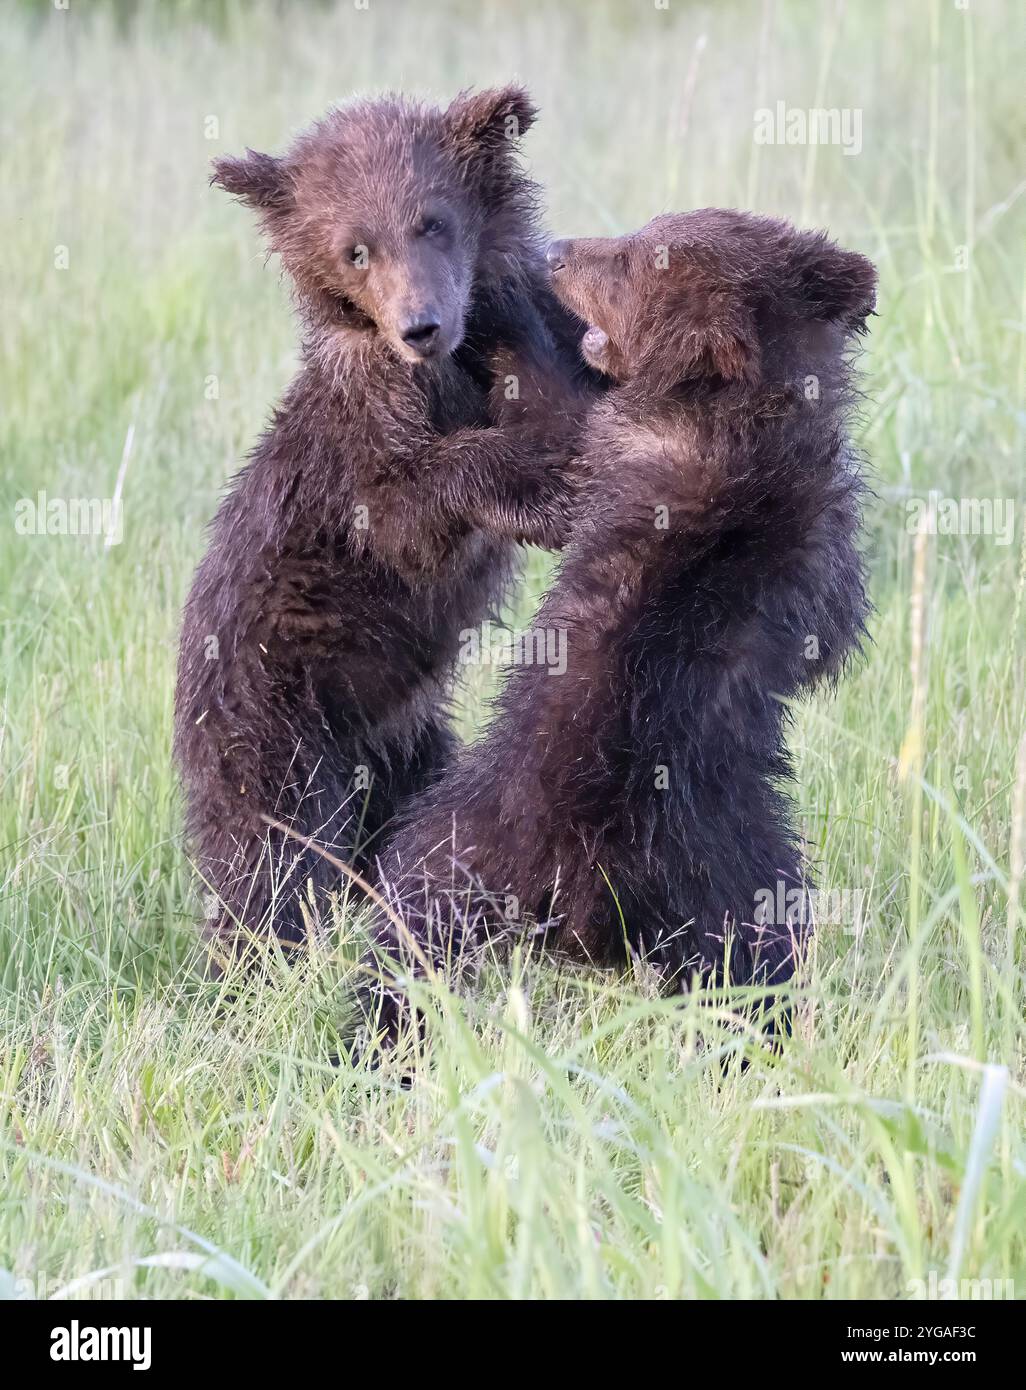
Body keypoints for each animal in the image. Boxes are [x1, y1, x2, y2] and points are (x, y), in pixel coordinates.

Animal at [173, 87, 593, 965]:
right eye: (355, 250)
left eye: (433, 221)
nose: (420, 325)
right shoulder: (364, 432)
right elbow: (408, 512)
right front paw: (547, 487)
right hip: (273, 711)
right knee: (271, 851)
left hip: (407, 739)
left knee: (416, 806)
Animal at [367, 207, 876, 1040]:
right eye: (645, 231)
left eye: (634, 260)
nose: (558, 251)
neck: (735, 412)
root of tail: (583, 889)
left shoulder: (631, 452)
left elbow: (555, 436)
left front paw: (498, 319)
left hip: (510, 836)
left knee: (405, 923)